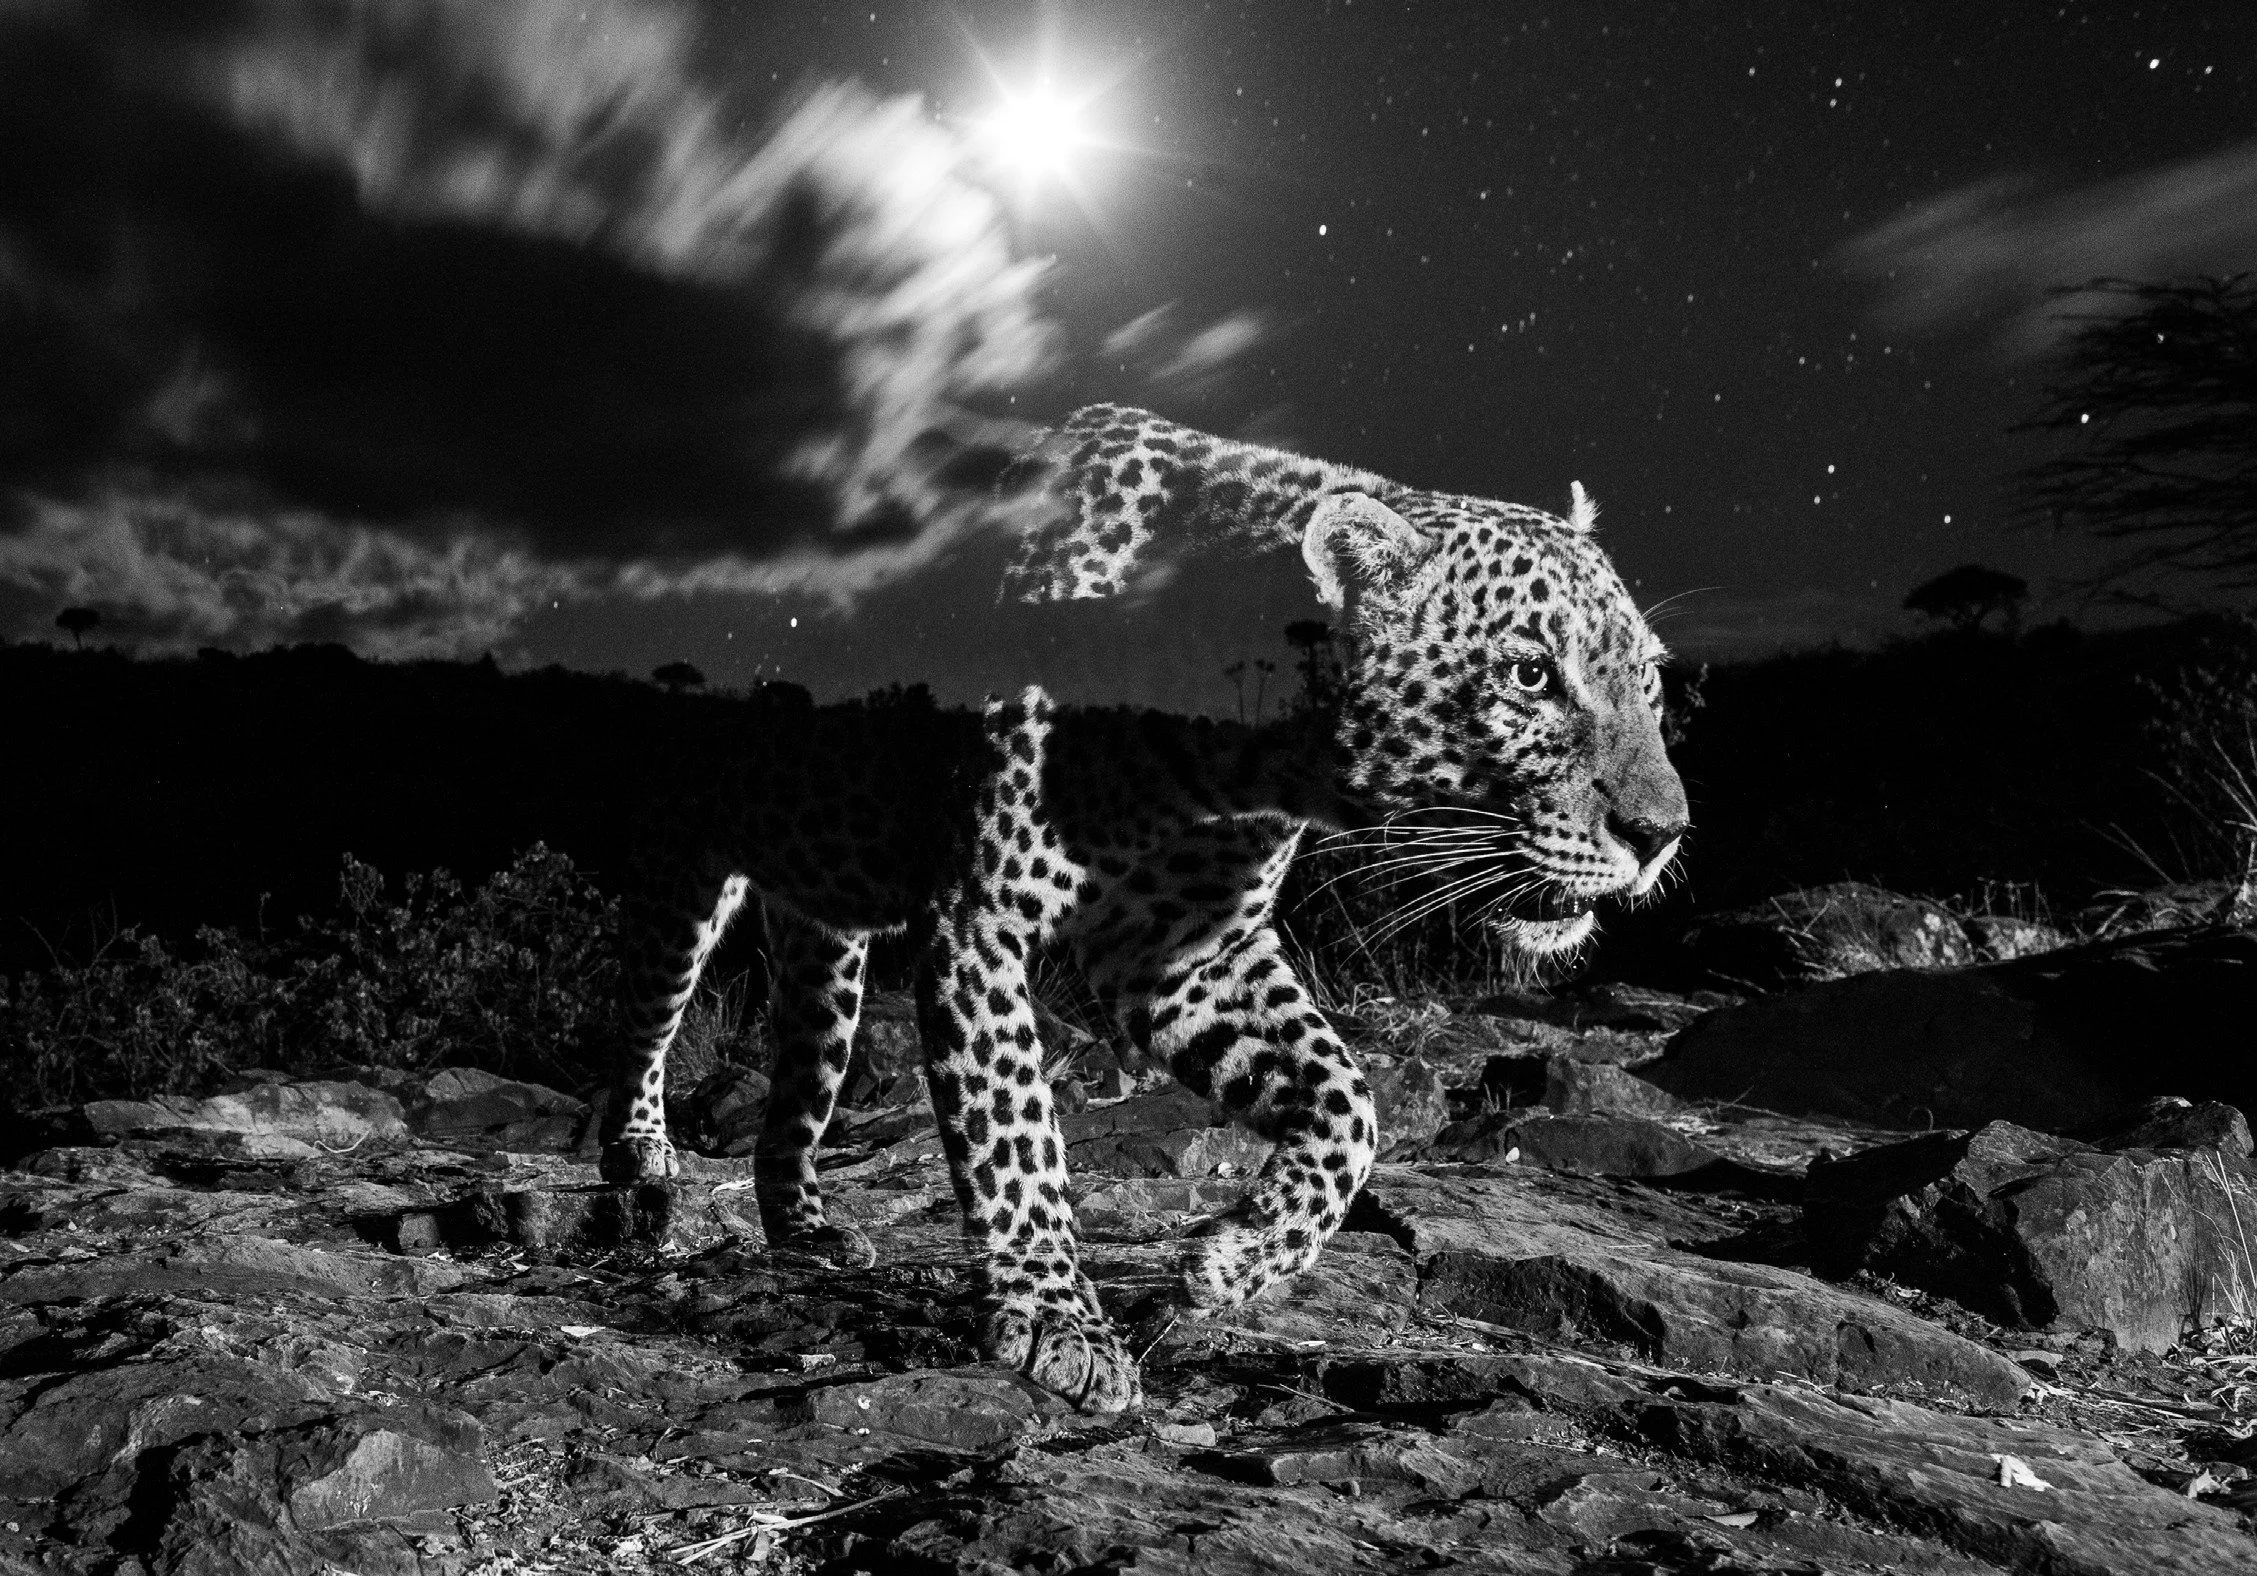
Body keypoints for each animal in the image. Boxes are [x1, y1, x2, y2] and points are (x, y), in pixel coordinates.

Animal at [597, 403, 1689, 1414]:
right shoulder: (980, 924)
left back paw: (806, 1231)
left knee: (800, 1075)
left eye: (1648, 677)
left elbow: (1348, 1101)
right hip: (681, 872)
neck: (1248, 755)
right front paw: (1057, 1322)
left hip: (826, 935)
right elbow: (1016, 1134)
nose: (1665, 831)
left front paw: (1235, 1258)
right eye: (1530, 674)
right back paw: (640, 1156)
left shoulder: (1183, 953)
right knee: (645, 1015)